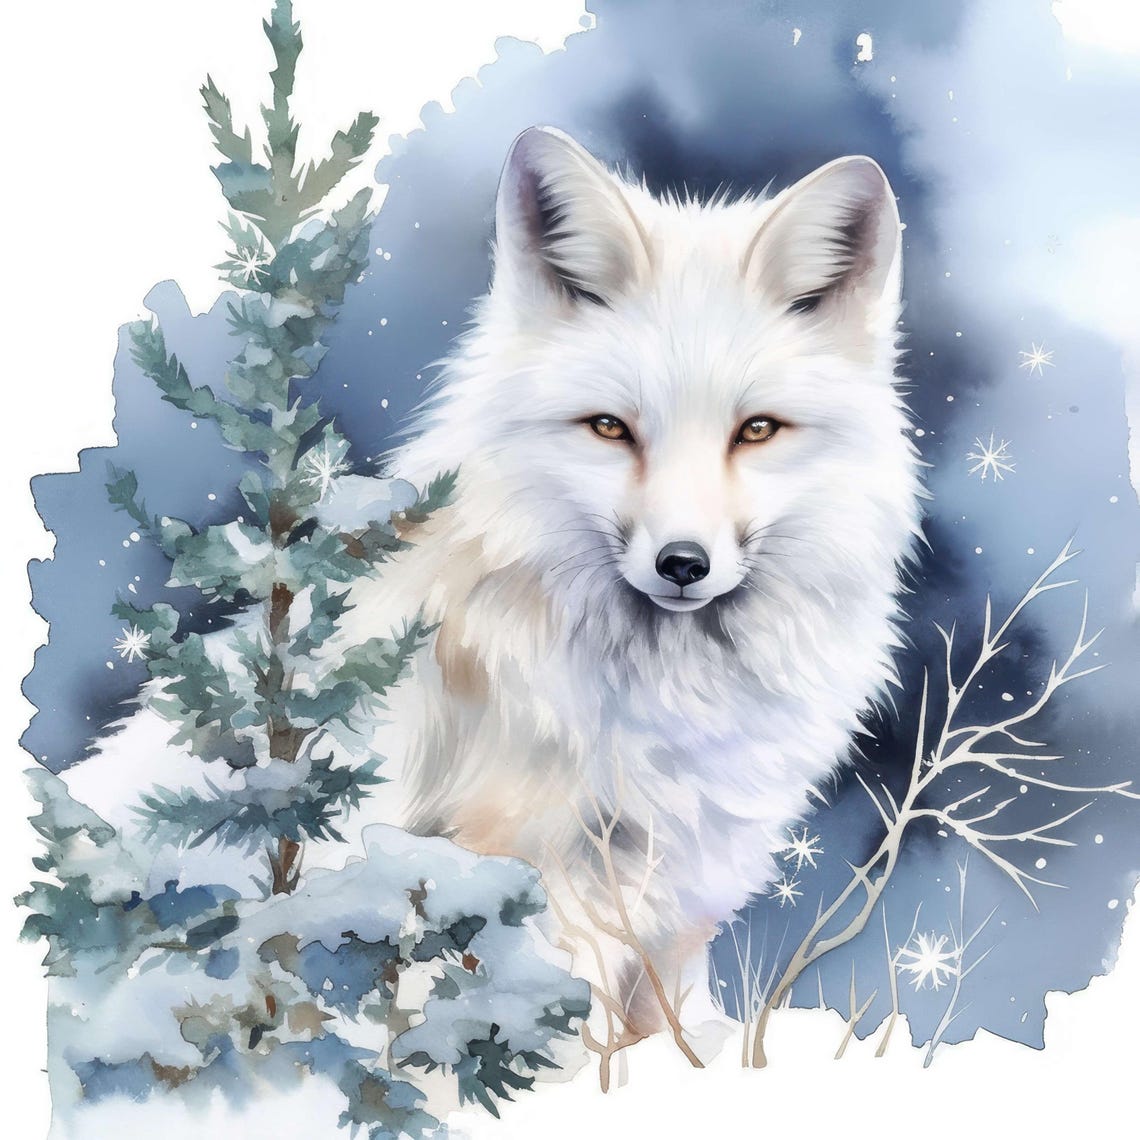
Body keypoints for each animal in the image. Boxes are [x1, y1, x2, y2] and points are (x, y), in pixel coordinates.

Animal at [66, 126, 921, 1048]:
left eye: (756, 430)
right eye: (610, 429)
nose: (683, 565)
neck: (660, 705)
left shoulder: (678, 909)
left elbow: (672, 1039)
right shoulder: (529, 888)